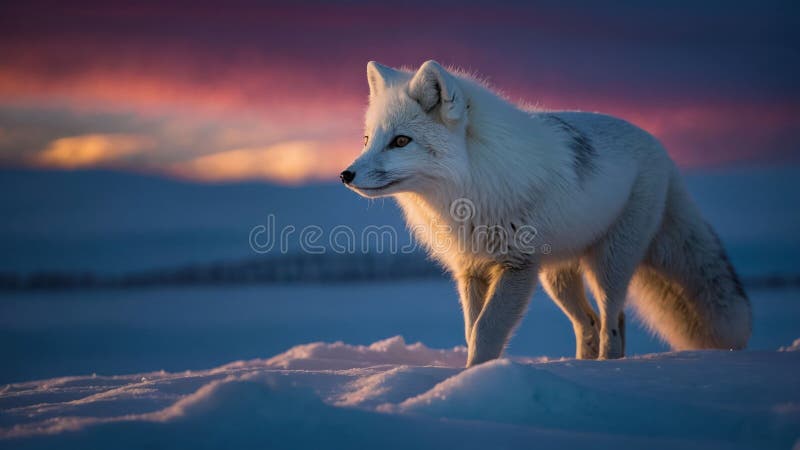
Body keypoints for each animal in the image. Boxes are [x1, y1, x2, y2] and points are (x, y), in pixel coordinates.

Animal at [341, 60, 751, 367]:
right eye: (367, 139)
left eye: (400, 141)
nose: (346, 174)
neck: (470, 186)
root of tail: (663, 151)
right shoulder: (471, 269)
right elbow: (472, 331)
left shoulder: (517, 265)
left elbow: (486, 331)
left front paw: (474, 378)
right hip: (557, 276)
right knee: (589, 323)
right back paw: (581, 367)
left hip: (607, 266)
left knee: (612, 321)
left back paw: (607, 369)